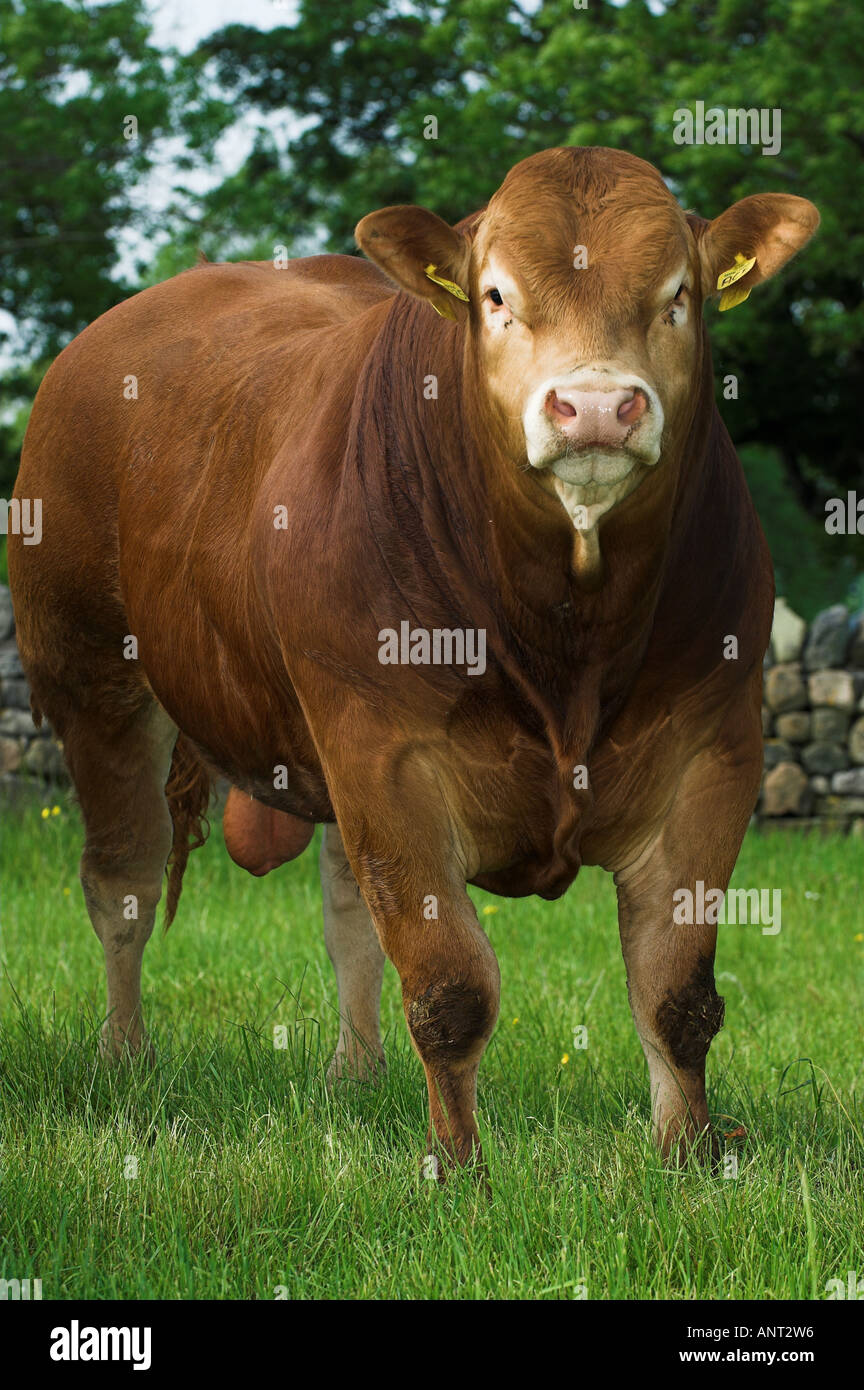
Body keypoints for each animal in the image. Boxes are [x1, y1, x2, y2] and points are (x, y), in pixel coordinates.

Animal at [9, 147, 818, 1175]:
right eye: (497, 295)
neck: (570, 634)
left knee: (345, 909)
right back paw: (124, 1056)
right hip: (93, 679)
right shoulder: (382, 751)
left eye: (680, 294)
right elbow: (452, 988)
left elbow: (675, 995)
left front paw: (687, 1162)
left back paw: (356, 1073)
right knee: (124, 880)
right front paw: (461, 1172)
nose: (598, 406)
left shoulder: (713, 754)